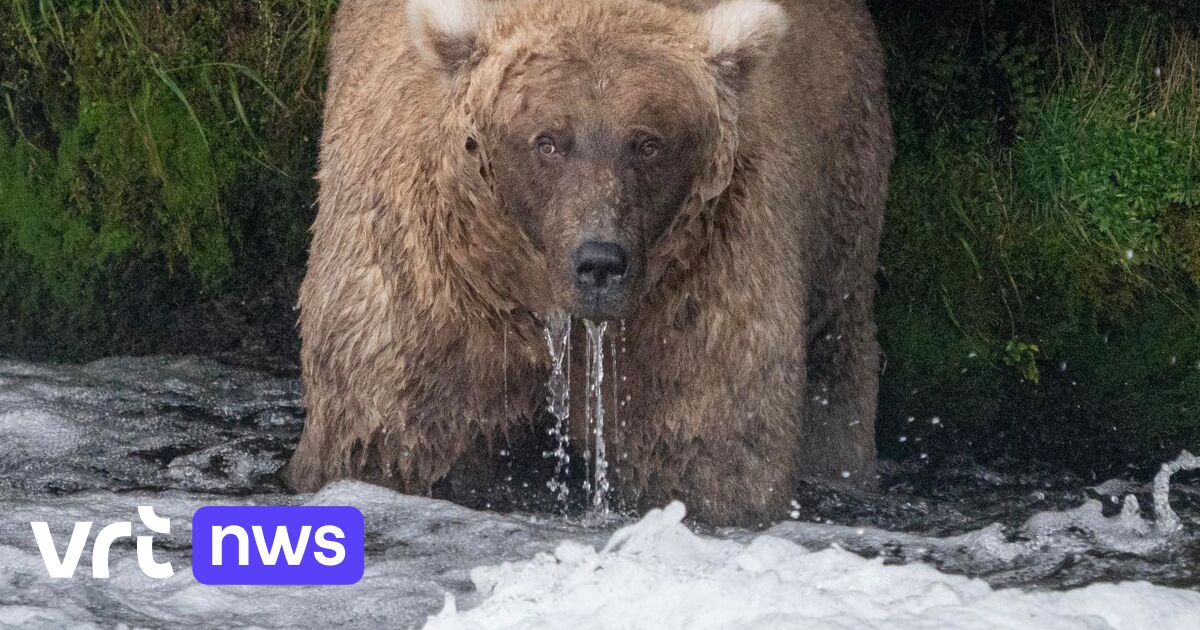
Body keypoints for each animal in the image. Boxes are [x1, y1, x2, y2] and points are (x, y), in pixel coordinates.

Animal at [290, 0, 892, 526]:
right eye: (548, 141)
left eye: (648, 143)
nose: (599, 262)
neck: (539, 296)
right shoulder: (430, 288)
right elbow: (391, 438)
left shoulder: (703, 287)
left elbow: (707, 449)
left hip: (844, 197)